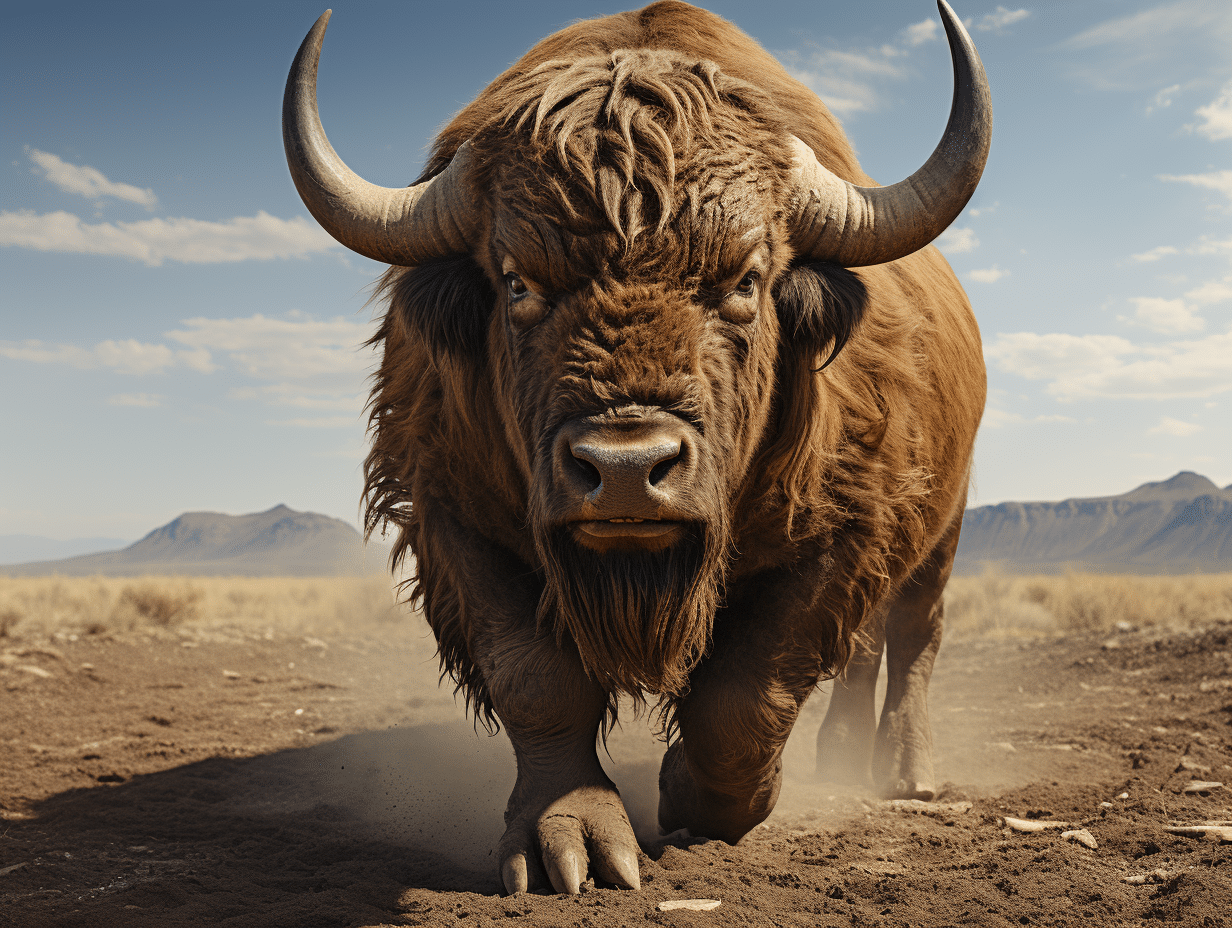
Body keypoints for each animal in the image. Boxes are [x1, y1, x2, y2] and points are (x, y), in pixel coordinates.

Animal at [283, 0, 990, 895]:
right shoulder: (451, 514)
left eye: (746, 279)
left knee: (911, 638)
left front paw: (687, 793)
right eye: (517, 280)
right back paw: (838, 761)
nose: (624, 471)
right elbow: (537, 681)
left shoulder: (841, 532)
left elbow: (744, 700)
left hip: (944, 529)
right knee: (864, 651)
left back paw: (904, 775)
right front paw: (571, 847)